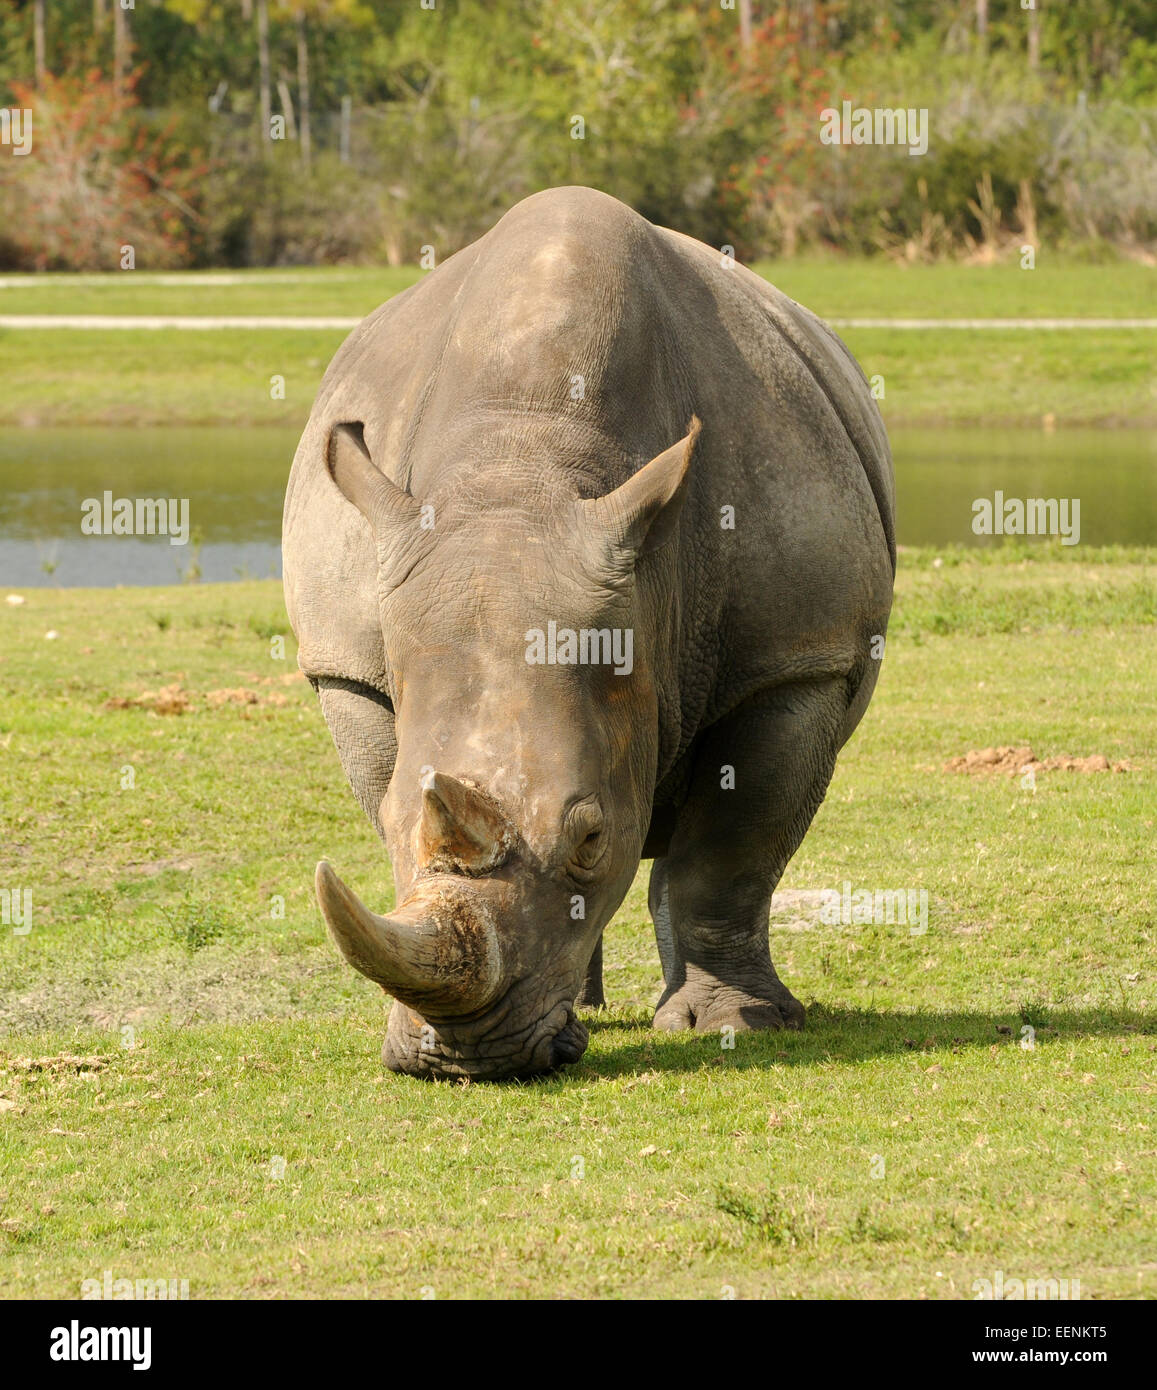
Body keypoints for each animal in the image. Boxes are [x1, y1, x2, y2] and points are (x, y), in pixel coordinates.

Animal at [282, 186, 894, 1081]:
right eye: (392, 822)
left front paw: (739, 1025)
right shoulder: (348, 665)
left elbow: (728, 855)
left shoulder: (798, 659)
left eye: (591, 838)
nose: (465, 1057)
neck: (524, 464)